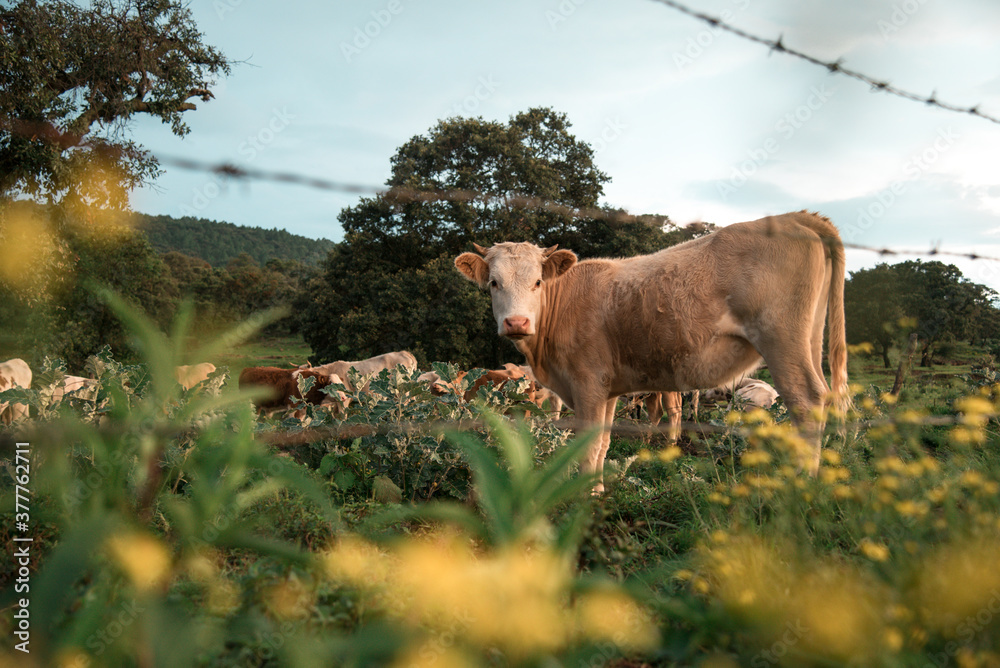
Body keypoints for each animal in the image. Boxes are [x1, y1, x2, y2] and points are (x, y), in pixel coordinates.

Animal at [456, 211, 848, 492]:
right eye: (494, 282)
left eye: (537, 281)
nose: (517, 322)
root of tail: (794, 216)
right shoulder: (607, 388)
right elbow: (603, 443)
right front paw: (598, 491)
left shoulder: (587, 382)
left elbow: (587, 445)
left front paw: (584, 500)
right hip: (809, 339)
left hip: (781, 338)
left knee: (807, 401)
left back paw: (802, 485)